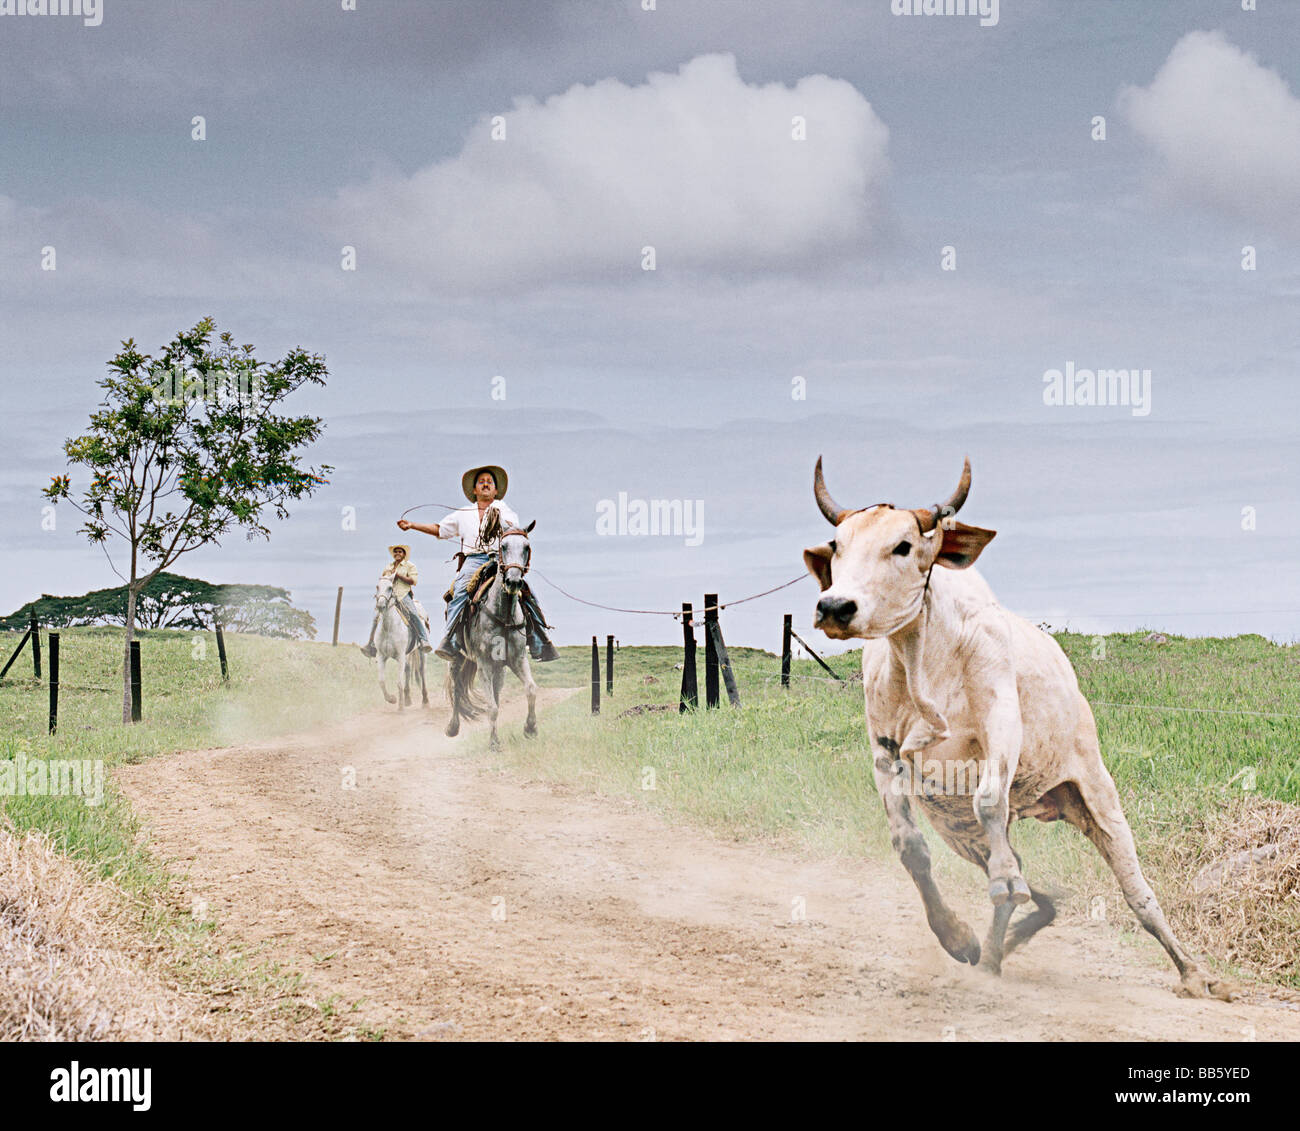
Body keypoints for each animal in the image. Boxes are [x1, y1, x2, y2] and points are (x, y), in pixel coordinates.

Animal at [803, 456, 1233, 999]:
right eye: (837, 545)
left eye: (902, 545)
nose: (835, 607)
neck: (925, 655)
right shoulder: (885, 747)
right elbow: (909, 846)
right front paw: (956, 936)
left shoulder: (1000, 724)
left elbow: (990, 802)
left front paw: (996, 895)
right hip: (960, 830)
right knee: (1025, 881)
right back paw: (995, 951)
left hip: (1098, 795)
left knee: (1138, 894)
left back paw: (1194, 973)